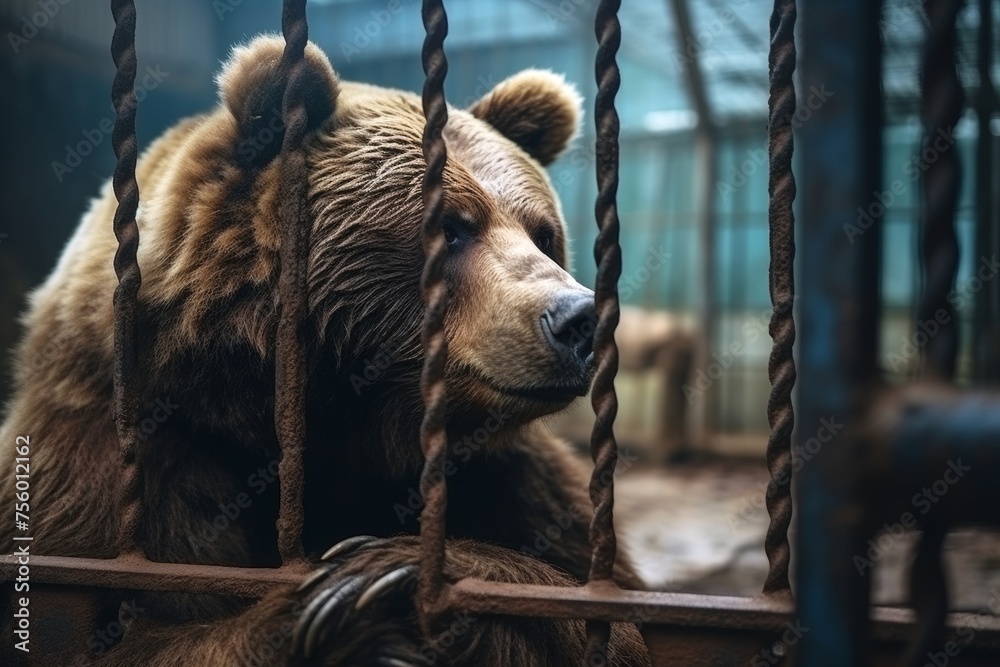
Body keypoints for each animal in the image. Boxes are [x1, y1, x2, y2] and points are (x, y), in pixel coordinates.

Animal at [0, 36, 650, 666]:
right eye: (452, 229)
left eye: (543, 234)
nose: (578, 320)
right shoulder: (116, 465)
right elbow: (104, 631)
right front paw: (354, 606)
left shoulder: (514, 479)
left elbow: (615, 615)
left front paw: (391, 575)